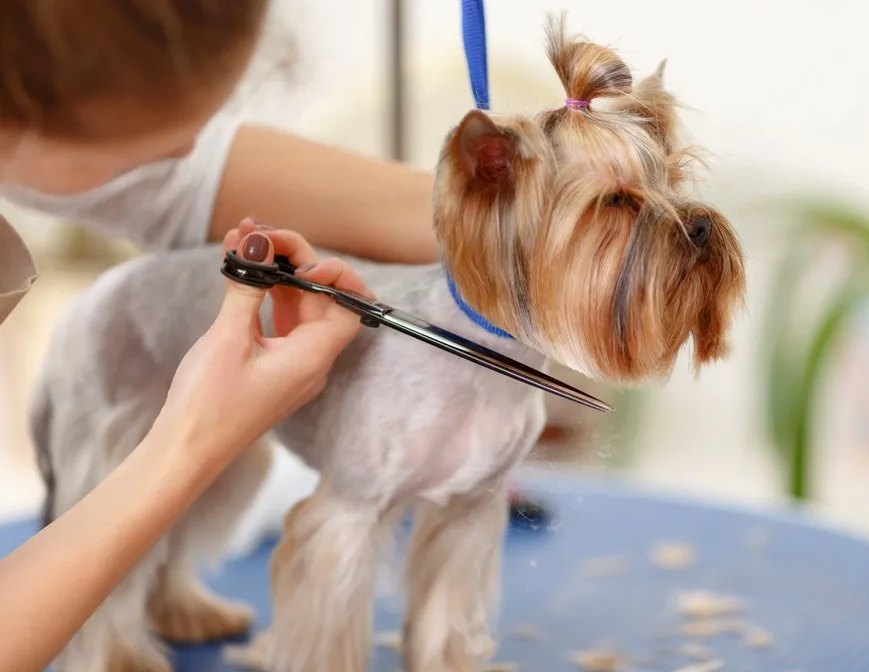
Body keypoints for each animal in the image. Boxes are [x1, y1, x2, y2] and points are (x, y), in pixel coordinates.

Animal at [30, 18, 744, 672]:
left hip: (213, 455)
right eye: (617, 203)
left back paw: (189, 613)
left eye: (676, 177)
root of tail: (87, 302)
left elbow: (440, 621)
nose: (702, 226)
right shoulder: (344, 518)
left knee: (173, 534)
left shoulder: (464, 516)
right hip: (124, 447)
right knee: (117, 557)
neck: (477, 361)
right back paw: (119, 655)